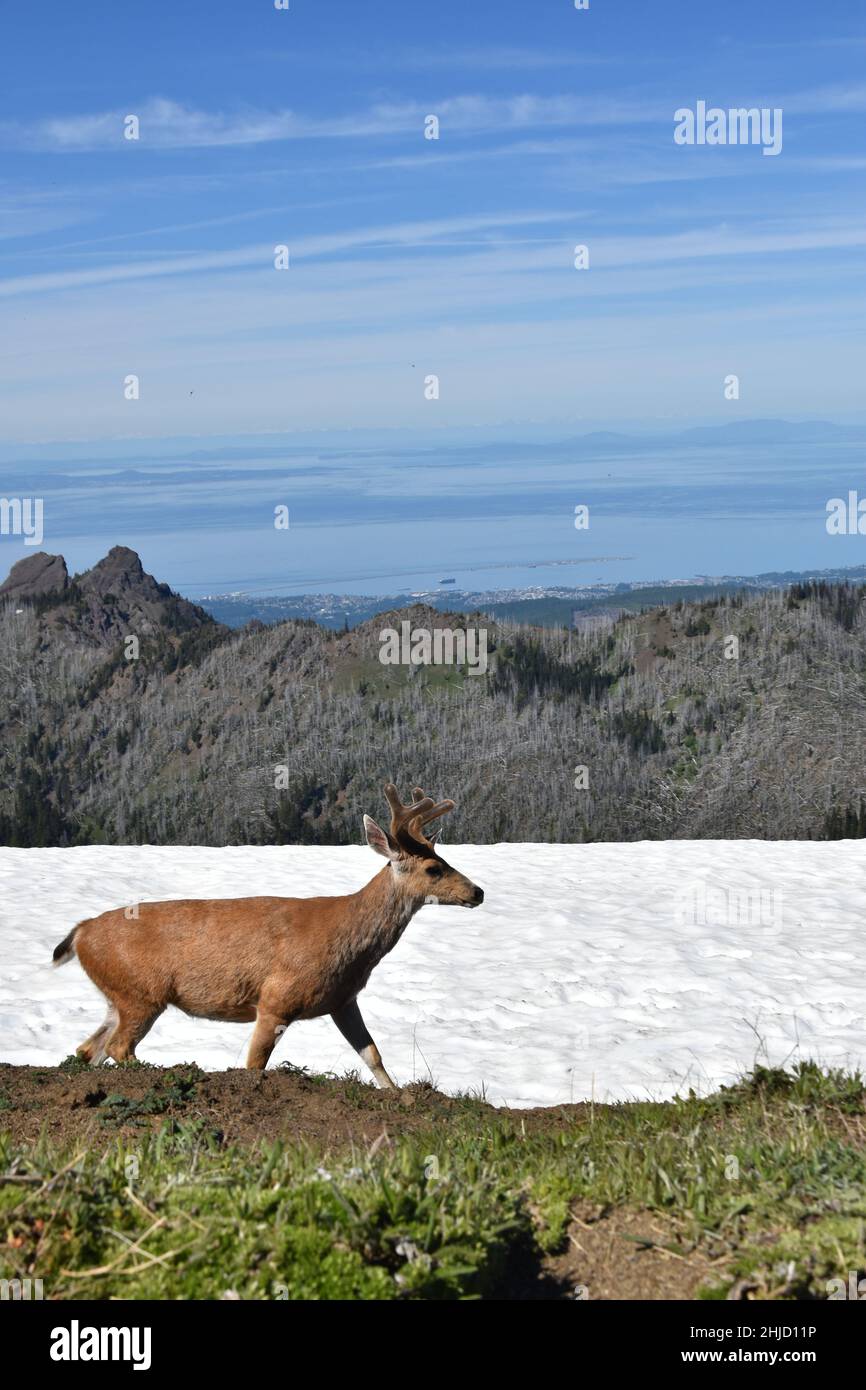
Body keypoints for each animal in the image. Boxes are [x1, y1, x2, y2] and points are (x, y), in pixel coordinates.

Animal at [51, 785, 483, 1088]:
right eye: (433, 869)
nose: (478, 892)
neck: (348, 939)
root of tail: (81, 931)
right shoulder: (276, 999)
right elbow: (254, 1063)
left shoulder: (343, 999)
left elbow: (373, 1054)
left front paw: (399, 1097)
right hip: (142, 993)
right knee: (118, 1046)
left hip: (119, 996)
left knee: (89, 1048)